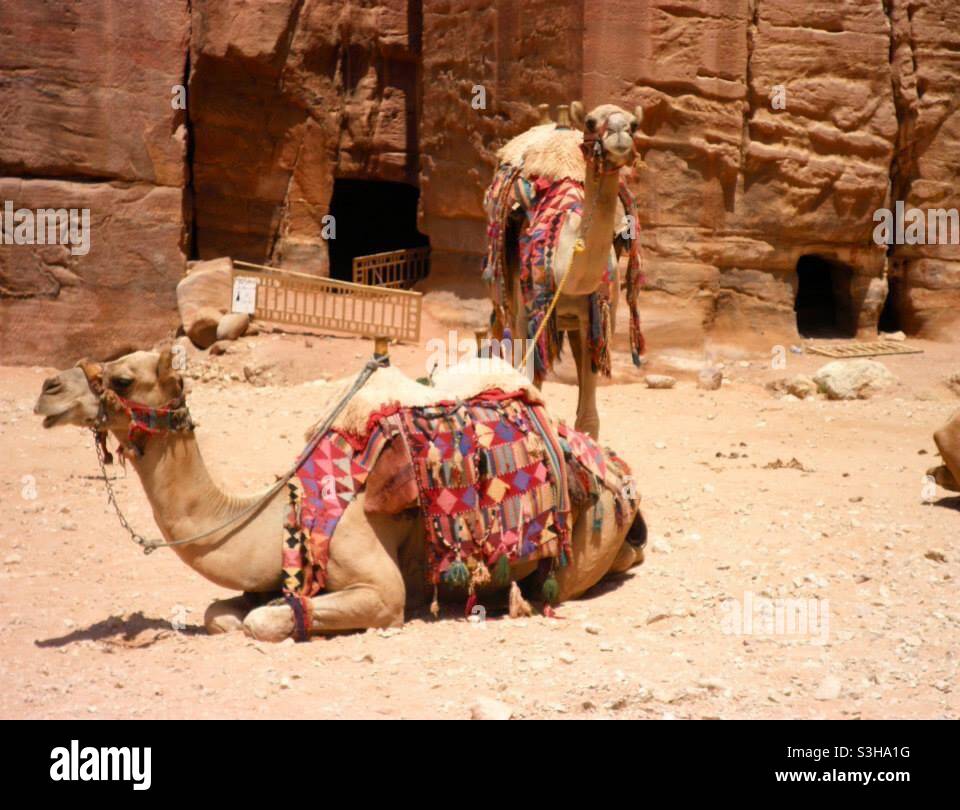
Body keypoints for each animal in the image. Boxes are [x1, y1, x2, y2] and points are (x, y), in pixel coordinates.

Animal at [34, 348, 647, 642]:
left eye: (123, 379)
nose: (47, 389)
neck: (277, 513)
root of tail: (620, 478)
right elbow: (218, 612)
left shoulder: (379, 587)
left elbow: (265, 622)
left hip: (578, 551)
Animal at [483, 101, 645, 439]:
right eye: (591, 122)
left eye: (635, 124)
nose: (619, 133)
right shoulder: (530, 313)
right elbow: (531, 385)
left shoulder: (598, 318)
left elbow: (588, 419)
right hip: (503, 286)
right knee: (498, 325)